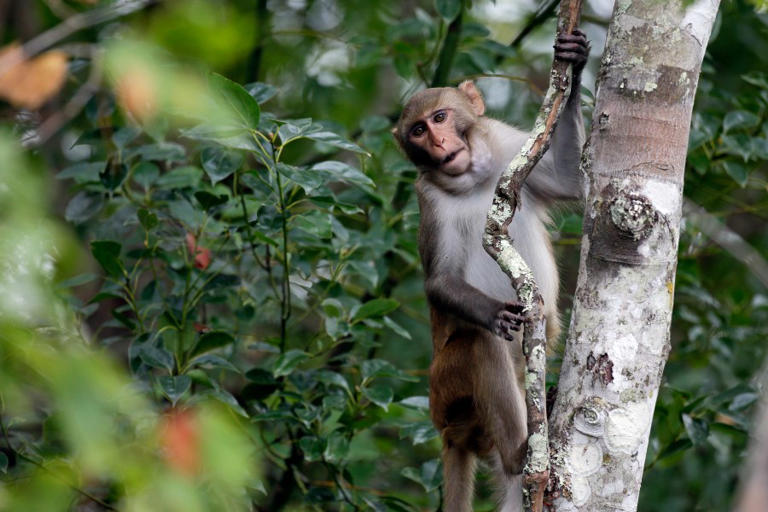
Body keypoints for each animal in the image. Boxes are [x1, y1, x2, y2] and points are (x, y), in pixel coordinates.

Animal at [392, 30, 589, 512]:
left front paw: (574, 64)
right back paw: (520, 452)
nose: (439, 144)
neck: (473, 178)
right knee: (480, 345)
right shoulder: (428, 198)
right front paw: (495, 313)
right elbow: (440, 281)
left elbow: (569, 180)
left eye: (440, 117)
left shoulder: (505, 143)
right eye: (418, 130)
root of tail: (449, 433)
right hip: (447, 391)